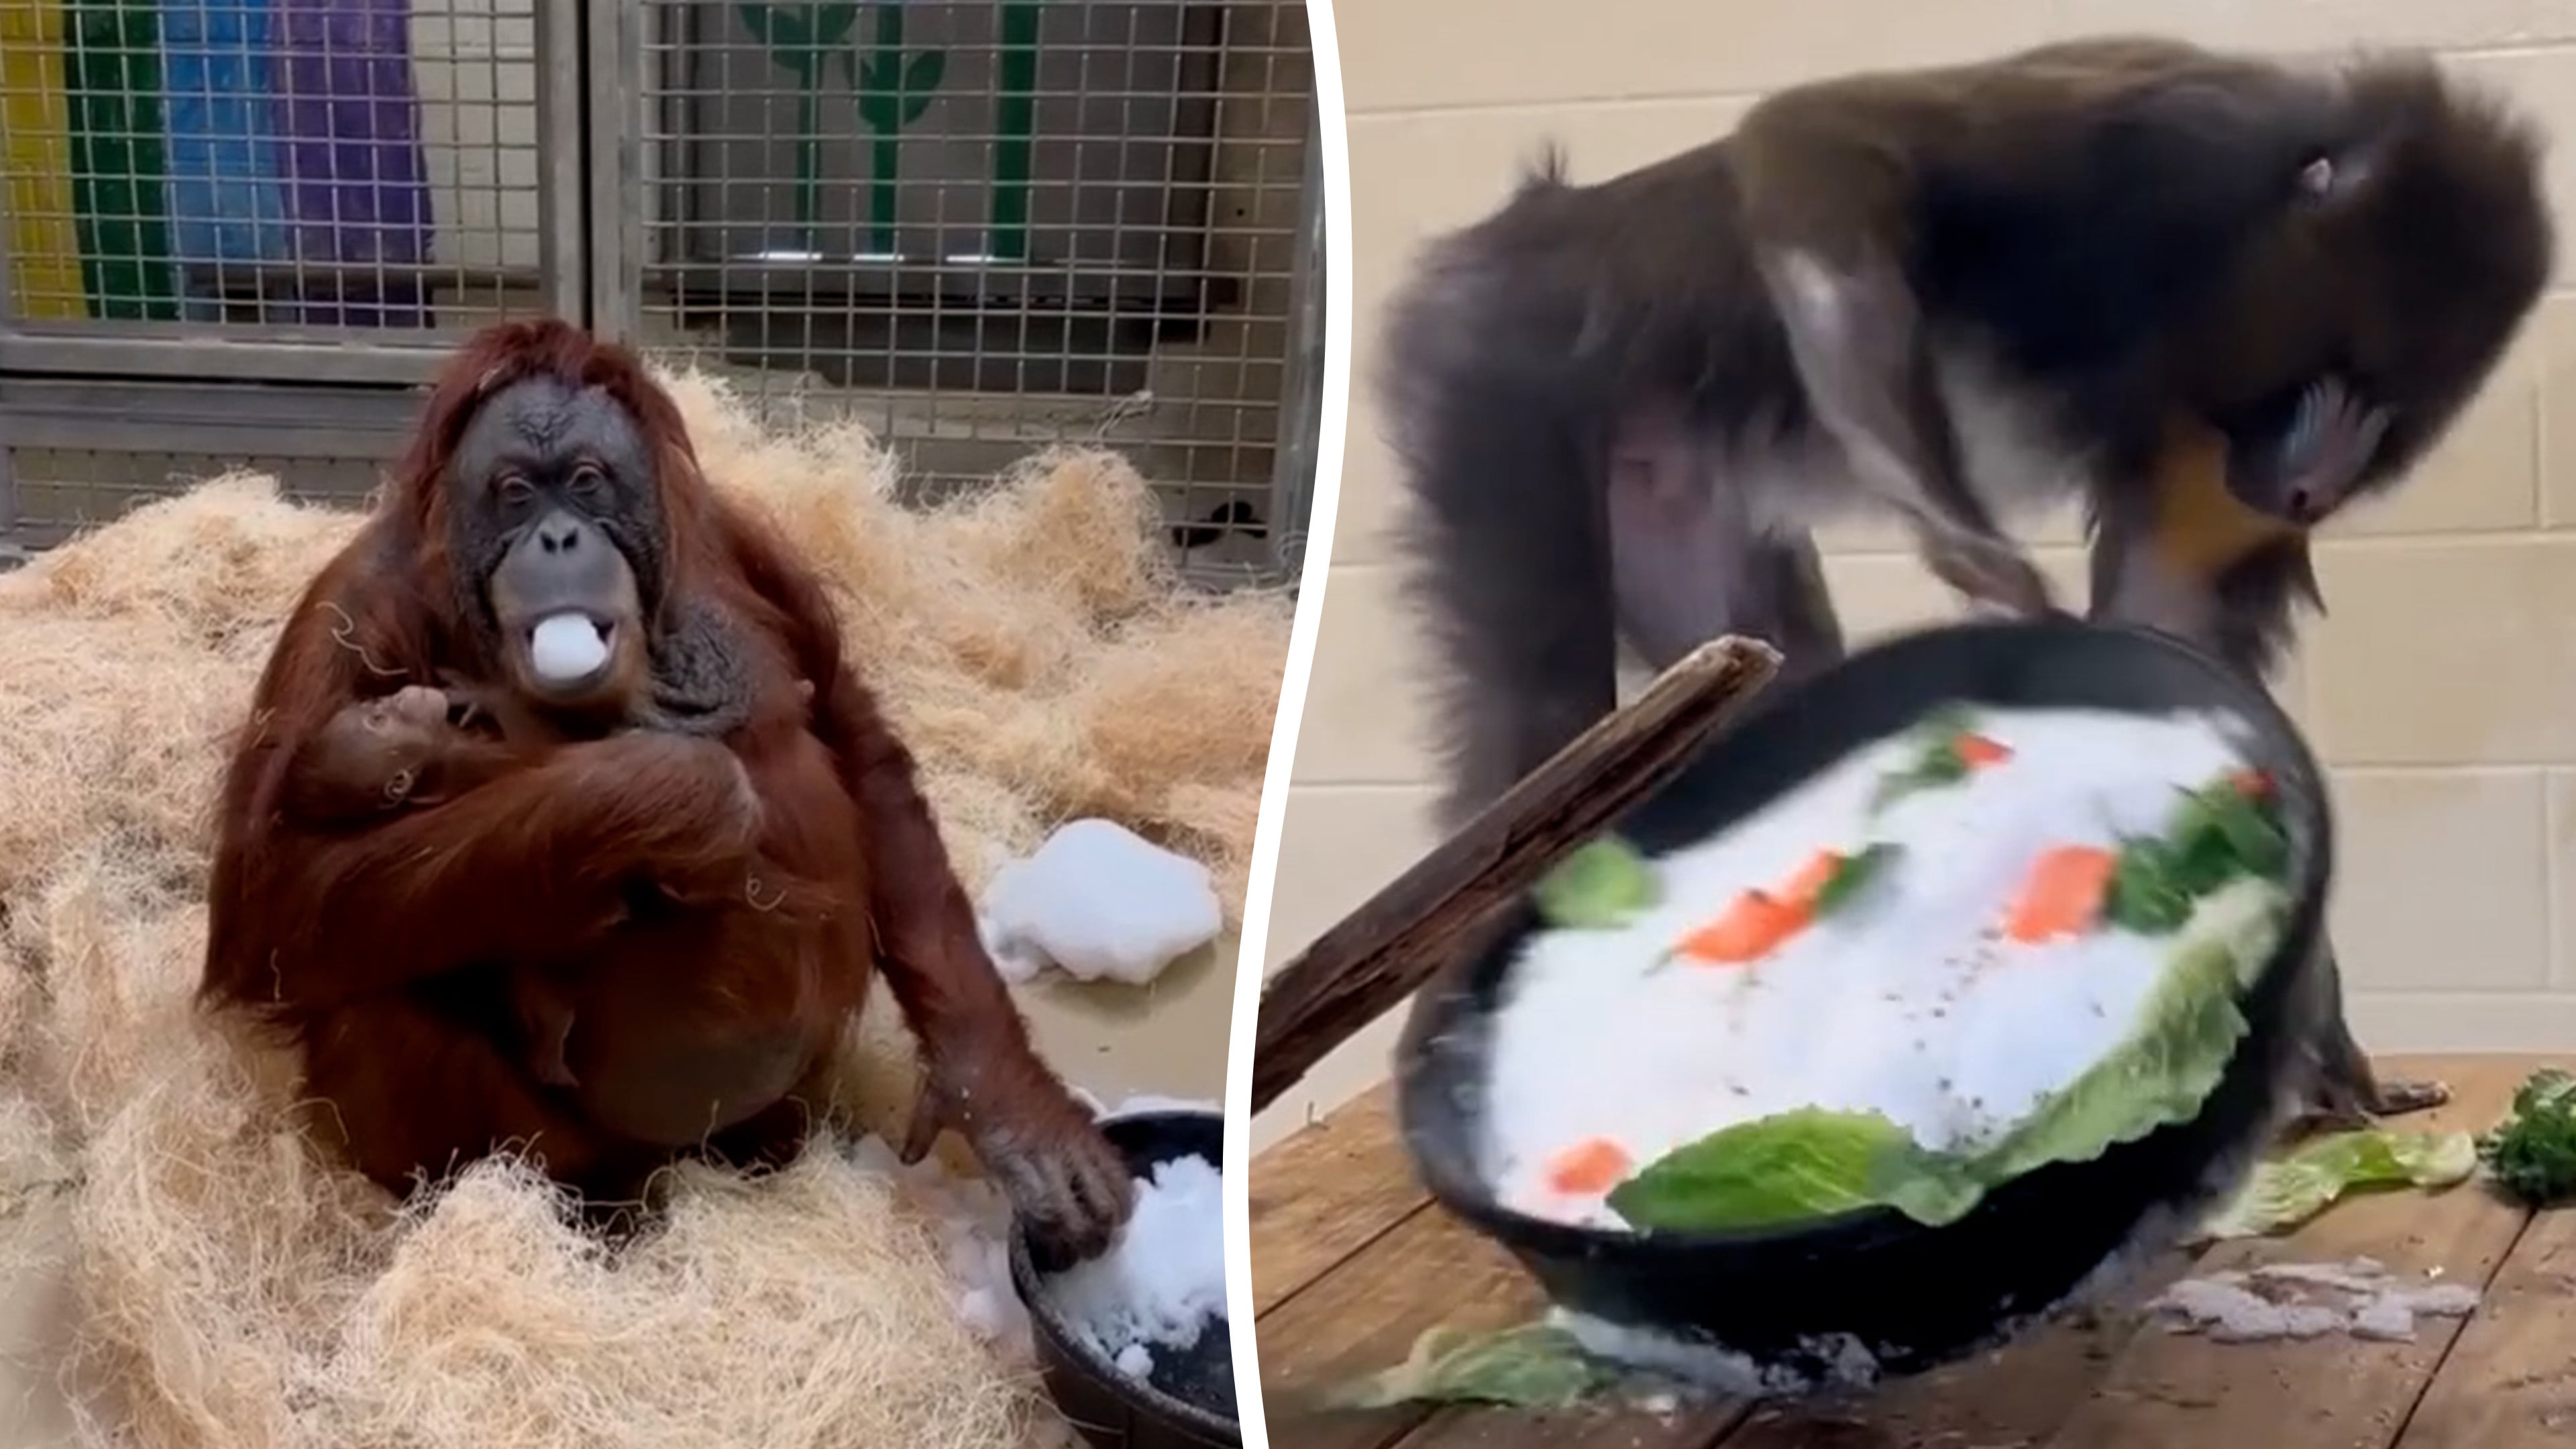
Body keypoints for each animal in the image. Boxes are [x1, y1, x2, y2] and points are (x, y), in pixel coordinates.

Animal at [1378, 36, 2552, 1129]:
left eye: (2393, 404)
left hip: (1667, 493)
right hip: (1495, 380)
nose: (2318, 482)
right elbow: (1824, 136)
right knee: (1545, 717)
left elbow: (2168, 628)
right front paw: (1958, 533)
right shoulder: (2150, 146)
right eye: (2346, 369)